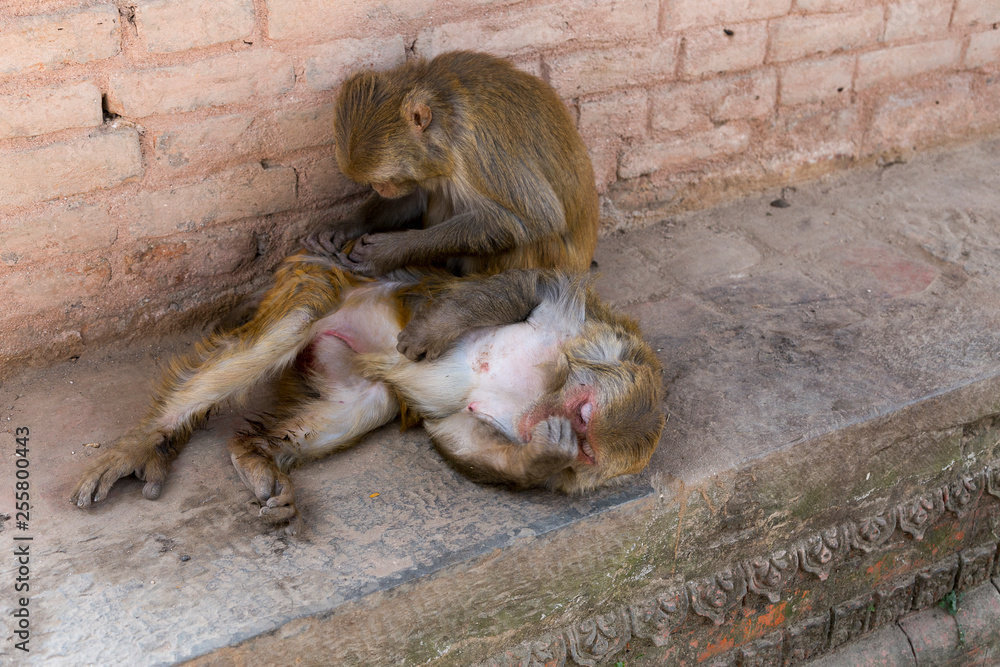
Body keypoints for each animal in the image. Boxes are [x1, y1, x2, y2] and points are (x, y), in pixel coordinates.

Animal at [71, 253, 665, 534]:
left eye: (586, 449)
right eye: (583, 414)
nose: (537, 423)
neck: (542, 385)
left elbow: (462, 433)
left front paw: (542, 455)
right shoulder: (572, 318)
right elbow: (525, 285)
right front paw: (434, 329)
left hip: (343, 362)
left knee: (363, 404)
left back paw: (256, 455)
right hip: (320, 285)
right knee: (291, 324)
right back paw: (146, 440)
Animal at [304, 50, 599, 278]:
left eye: (384, 179)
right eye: (376, 183)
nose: (380, 189)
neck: (446, 113)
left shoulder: (478, 146)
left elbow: (535, 220)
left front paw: (388, 252)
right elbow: (416, 196)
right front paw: (342, 226)